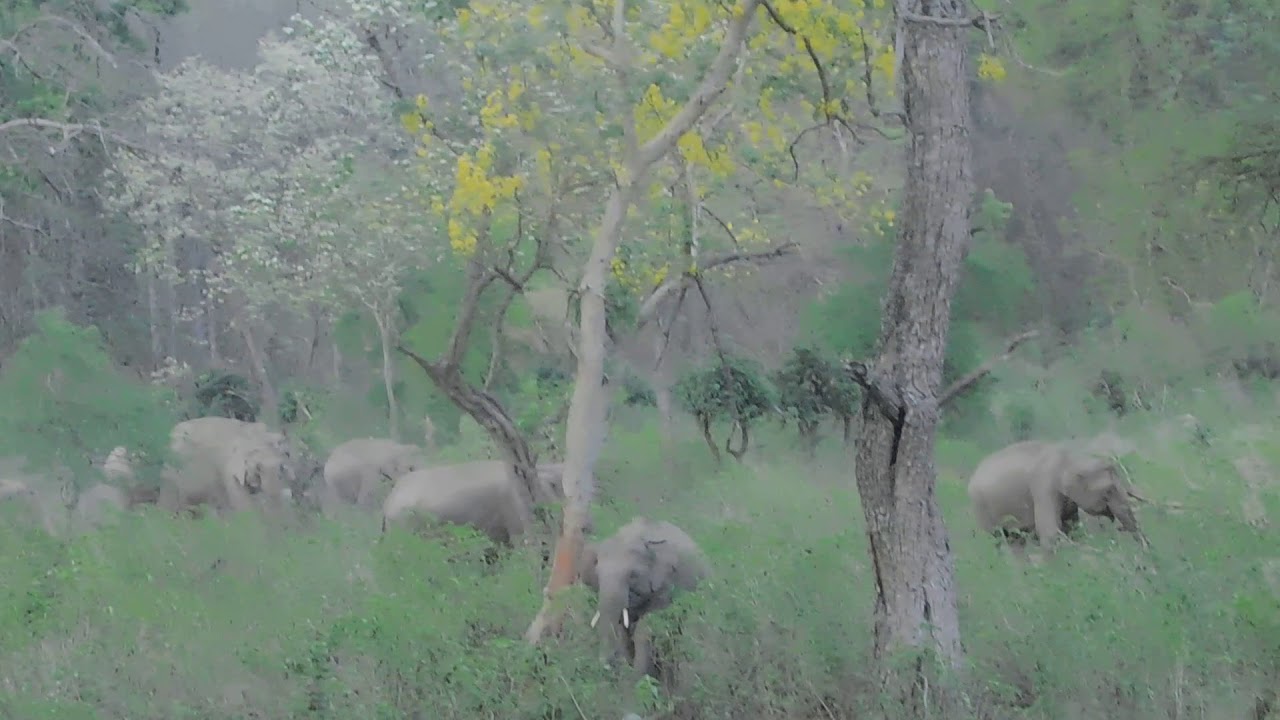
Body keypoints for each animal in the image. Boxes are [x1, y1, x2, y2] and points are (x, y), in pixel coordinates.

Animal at [579, 517, 711, 678]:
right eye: (597, 574)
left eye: (633, 575)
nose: (606, 665)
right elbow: (623, 628)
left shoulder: (668, 583)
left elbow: (646, 628)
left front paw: (638, 677)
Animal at [967, 439, 1150, 550]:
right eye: (1108, 491)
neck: (1069, 457)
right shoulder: (1042, 487)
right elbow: (1050, 534)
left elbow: (1072, 528)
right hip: (981, 510)